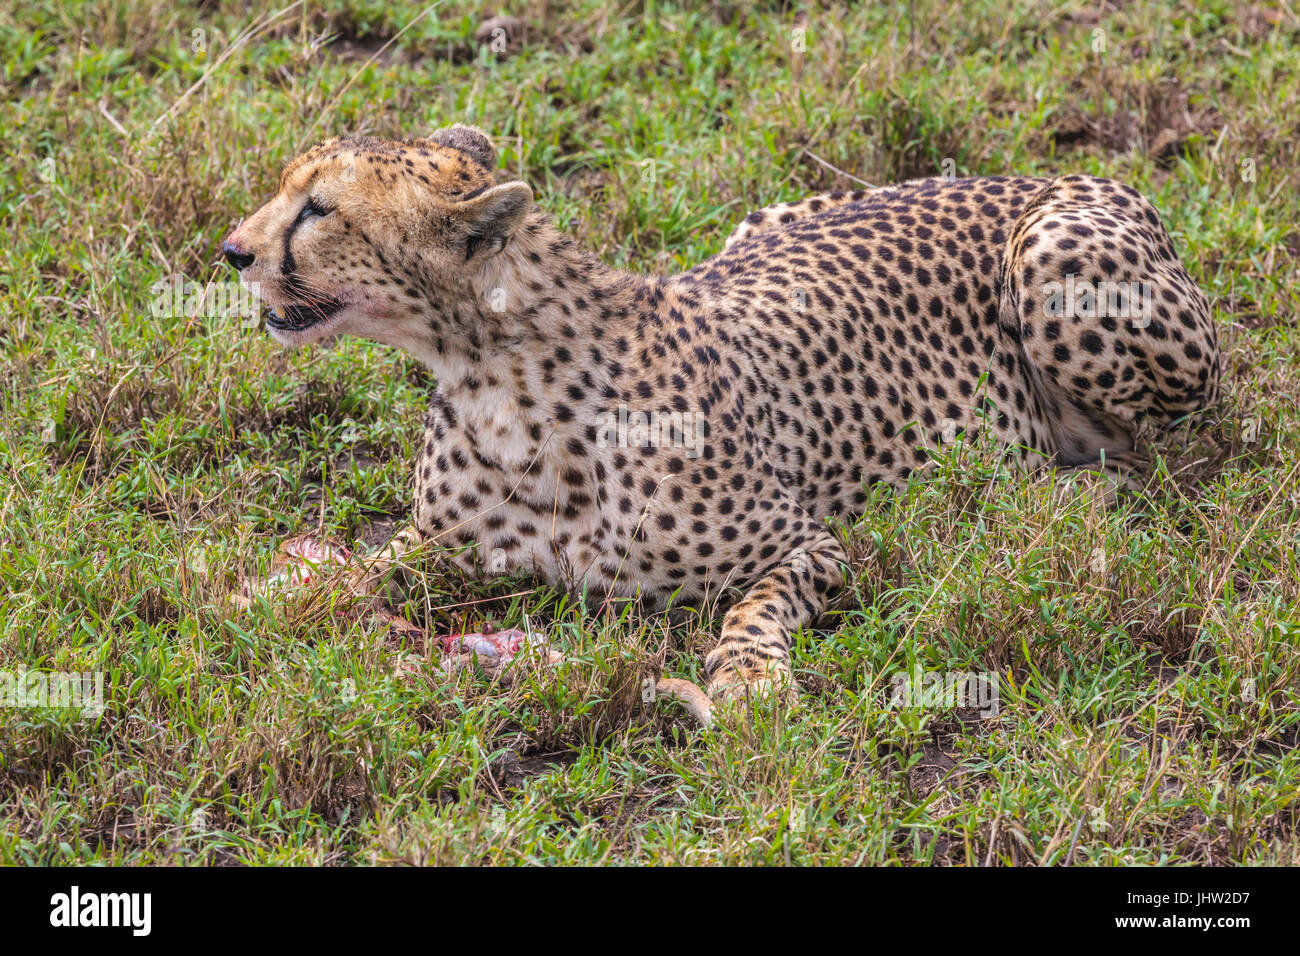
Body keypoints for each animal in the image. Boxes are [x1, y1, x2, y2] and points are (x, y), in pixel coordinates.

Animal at [223, 124, 1222, 723]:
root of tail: (1052, 170)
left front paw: (744, 677)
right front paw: (263, 592)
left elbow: (756, 605)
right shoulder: (444, 545)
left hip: (1057, 264)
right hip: (760, 218)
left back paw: (1068, 498)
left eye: (320, 210)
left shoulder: (806, 541)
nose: (232, 251)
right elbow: (362, 567)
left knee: (1164, 453)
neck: (493, 380)